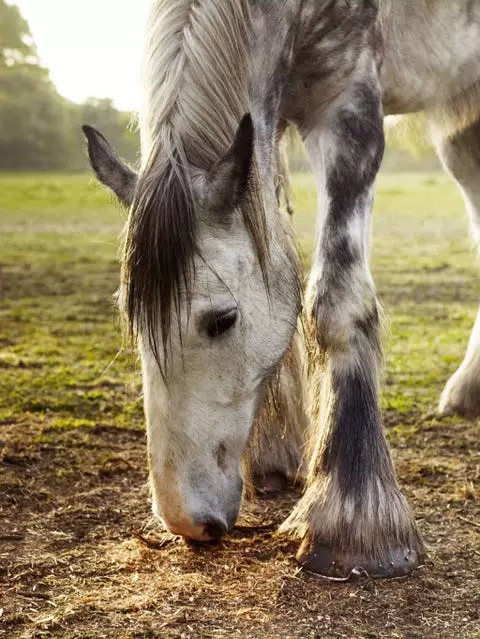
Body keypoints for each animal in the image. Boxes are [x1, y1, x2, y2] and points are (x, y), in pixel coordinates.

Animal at [81, 0, 480, 580]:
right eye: (135, 323)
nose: (184, 520)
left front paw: (353, 521)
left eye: (222, 319)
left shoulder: (347, 109)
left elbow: (335, 300)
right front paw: (276, 456)